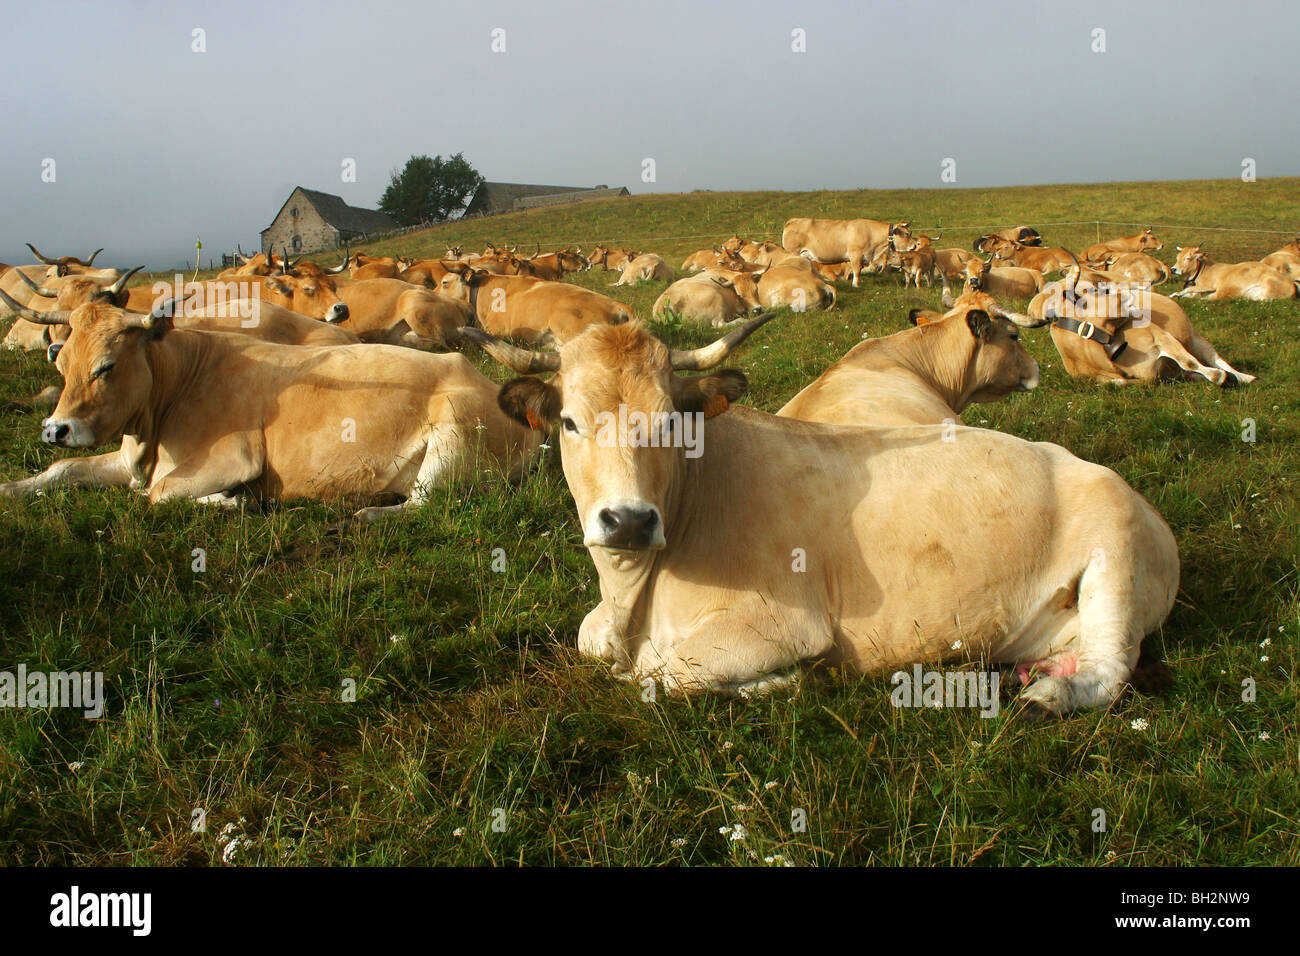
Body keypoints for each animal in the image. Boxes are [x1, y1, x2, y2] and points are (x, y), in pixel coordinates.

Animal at [0, 301, 541, 524]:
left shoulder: (235, 457)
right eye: (60, 362)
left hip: (452, 439)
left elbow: (157, 494)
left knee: (425, 504)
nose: (56, 428)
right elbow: (65, 467)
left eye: (106, 366)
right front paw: (12, 487)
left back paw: (365, 511)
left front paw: (235, 501)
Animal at [781, 217, 911, 287]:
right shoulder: (856, 255)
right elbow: (857, 271)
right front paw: (856, 285)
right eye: (907, 233)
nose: (914, 245)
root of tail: (793, 220)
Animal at [1171, 246, 1299, 301]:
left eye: (1188, 258)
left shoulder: (1209, 286)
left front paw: (1174, 295)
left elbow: (1190, 291)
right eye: (1177, 257)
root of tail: (1293, 284)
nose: (1173, 269)